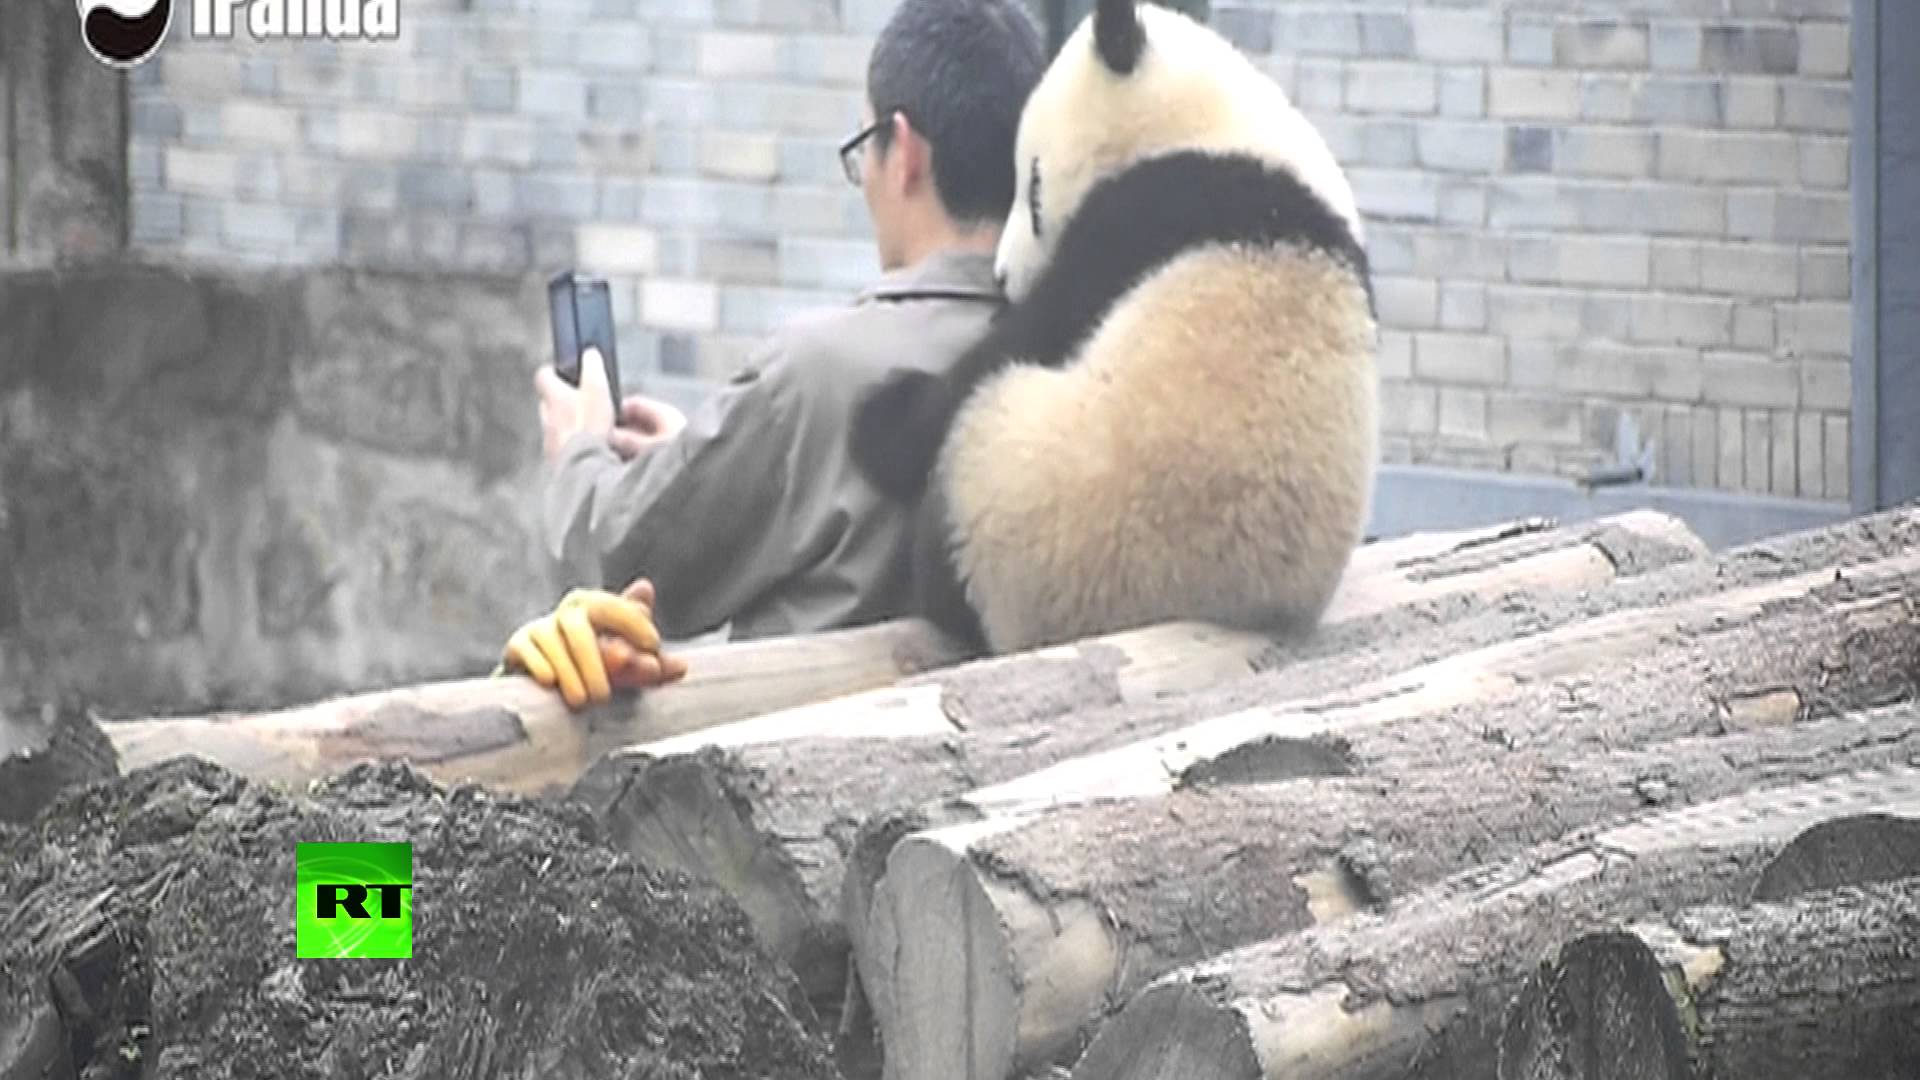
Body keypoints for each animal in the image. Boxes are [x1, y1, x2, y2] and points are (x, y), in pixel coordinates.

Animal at [849, 0, 1379, 657]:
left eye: (1034, 188)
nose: (1000, 276)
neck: (1213, 129)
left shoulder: (1141, 215)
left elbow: (1032, 332)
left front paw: (878, 416)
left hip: (1029, 501)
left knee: (967, 464)